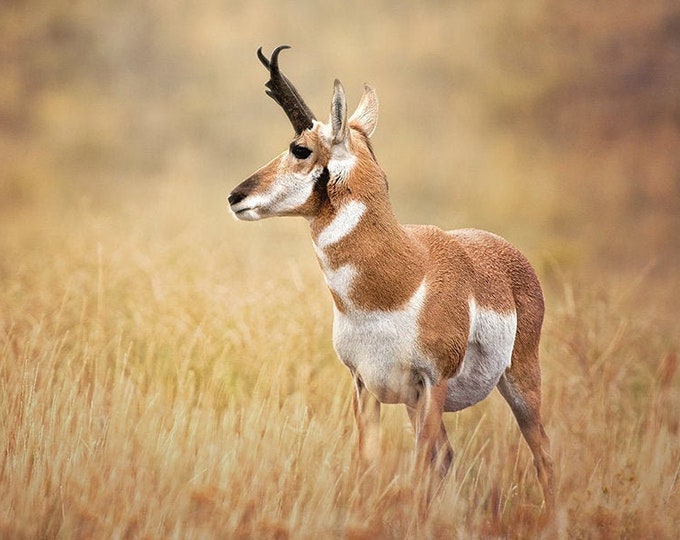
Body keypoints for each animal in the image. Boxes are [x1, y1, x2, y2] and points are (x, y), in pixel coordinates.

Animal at [228, 46, 554, 513]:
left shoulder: (432, 385)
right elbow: (369, 466)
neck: (400, 281)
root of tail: (506, 250)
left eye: (300, 148)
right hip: (417, 404)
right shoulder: (365, 386)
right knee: (450, 458)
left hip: (521, 384)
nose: (236, 196)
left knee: (542, 455)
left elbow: (418, 471)